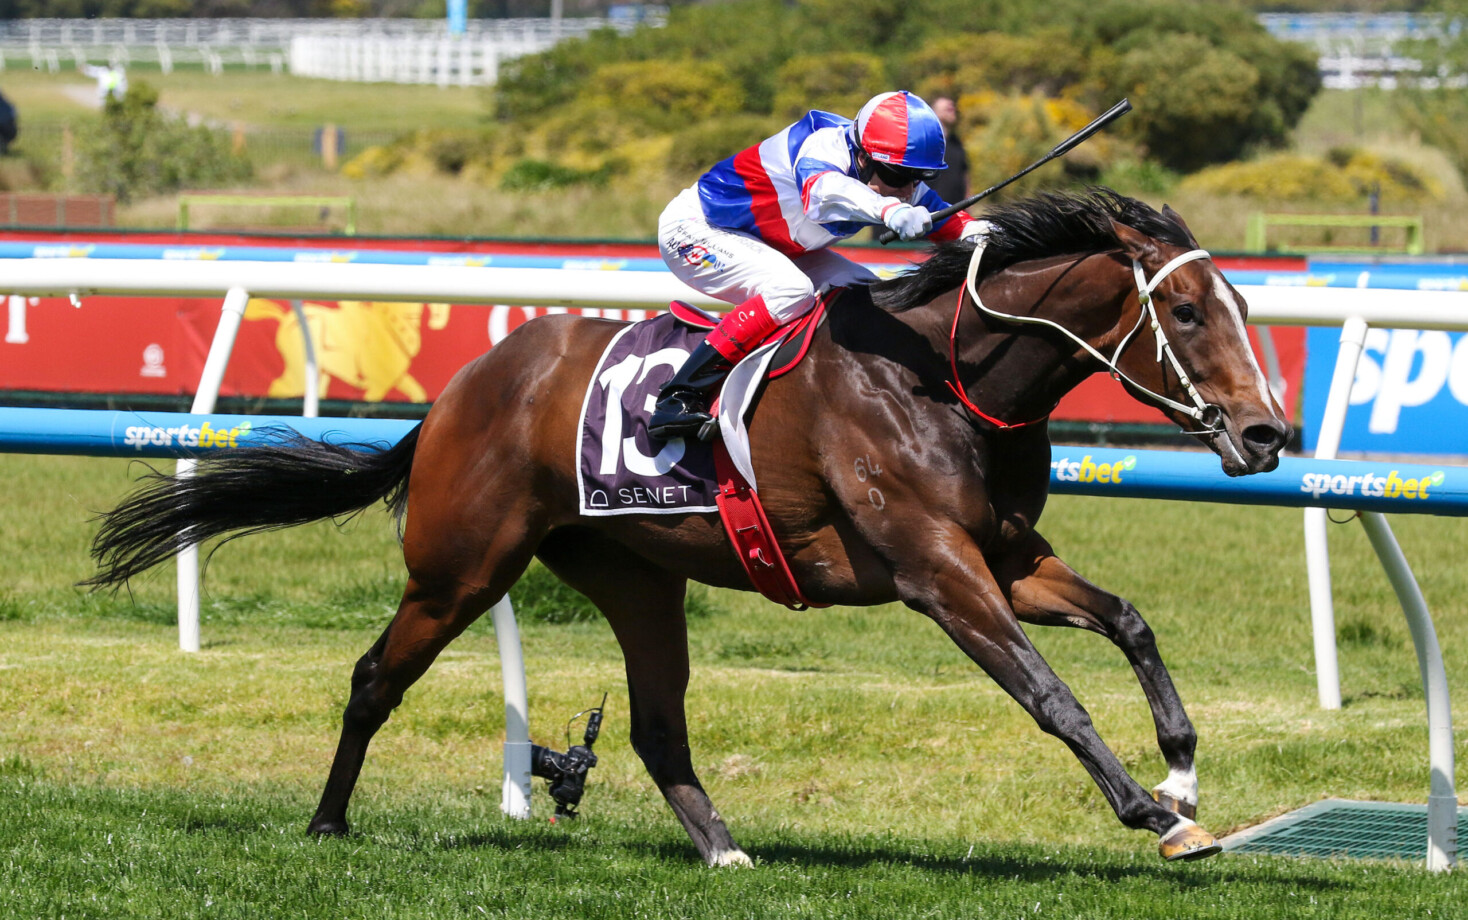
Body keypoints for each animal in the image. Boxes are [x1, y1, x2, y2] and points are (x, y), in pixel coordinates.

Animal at [86, 189, 1290, 867]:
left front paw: (1183, 774)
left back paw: (723, 850)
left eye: (1239, 307)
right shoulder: (937, 569)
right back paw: (329, 823)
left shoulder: (1004, 556)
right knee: (376, 675)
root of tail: (464, 386)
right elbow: (1049, 693)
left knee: (658, 725)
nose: (1266, 430)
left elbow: (1128, 621)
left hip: (634, 576)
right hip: (462, 565)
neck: (943, 375)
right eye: (1188, 313)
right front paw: (1152, 814)